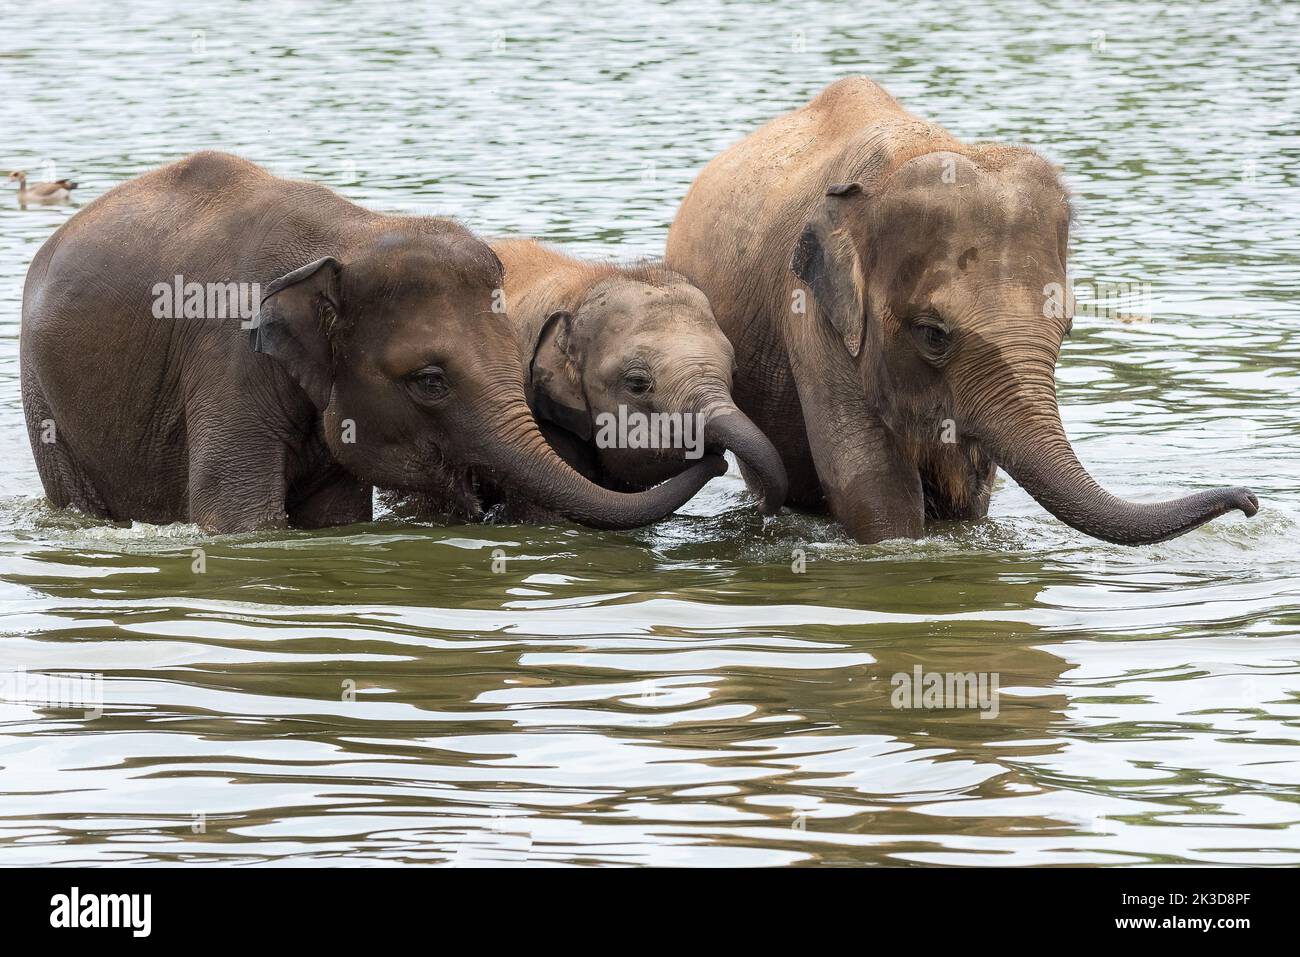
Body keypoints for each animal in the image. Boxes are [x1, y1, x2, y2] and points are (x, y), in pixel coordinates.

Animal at [20, 151, 724, 534]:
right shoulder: (226, 360)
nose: (715, 456)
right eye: (429, 381)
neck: (348, 237)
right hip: (42, 399)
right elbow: (238, 519)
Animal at [665, 76, 1257, 545]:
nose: (1251, 502)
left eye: (1066, 328)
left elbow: (968, 486)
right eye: (932, 335)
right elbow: (869, 482)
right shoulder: (810, 311)